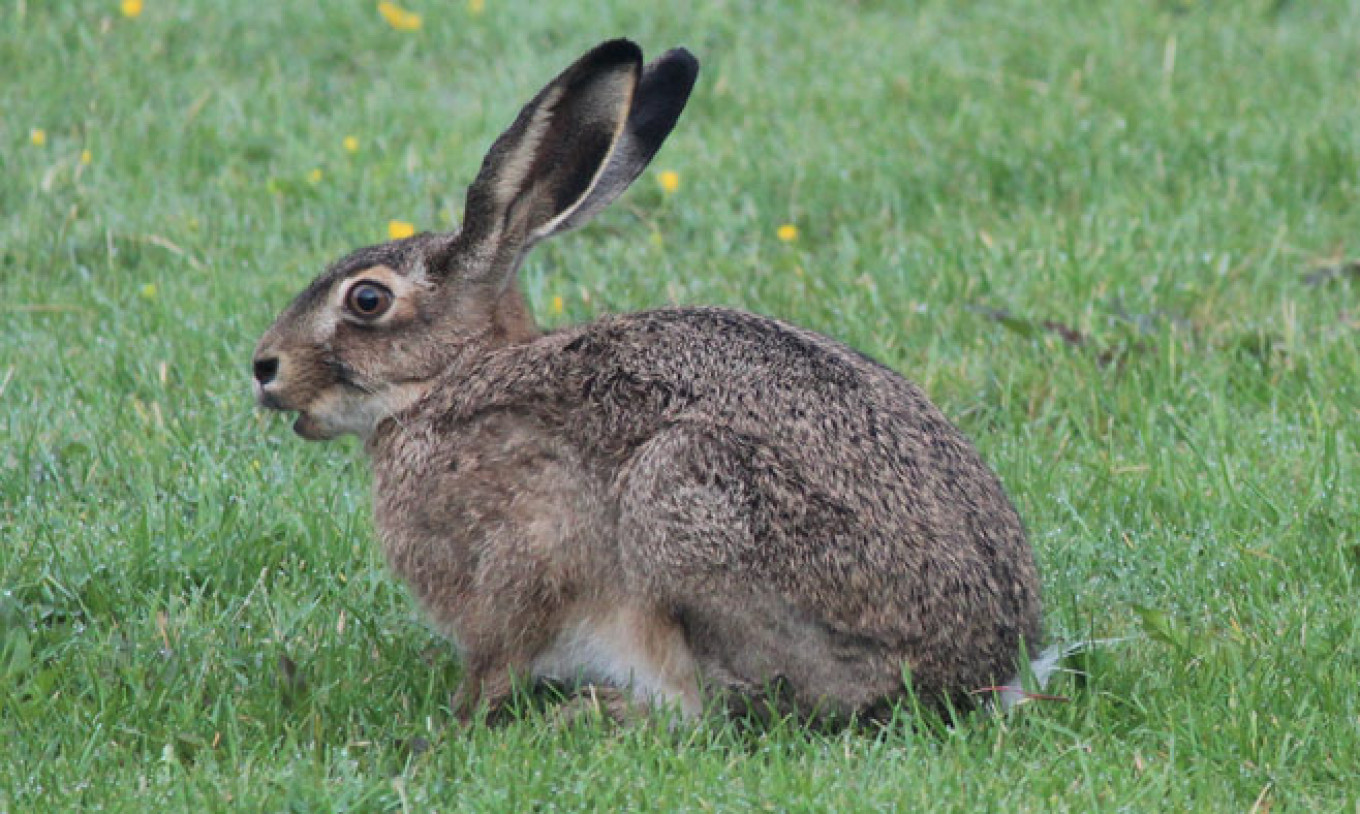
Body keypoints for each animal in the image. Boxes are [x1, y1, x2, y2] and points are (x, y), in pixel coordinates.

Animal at [252, 39, 1042, 725]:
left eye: (367, 300)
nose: (264, 368)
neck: (448, 377)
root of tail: (981, 669)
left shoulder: (522, 556)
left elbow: (499, 651)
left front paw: (460, 715)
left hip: (685, 500)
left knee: (714, 709)